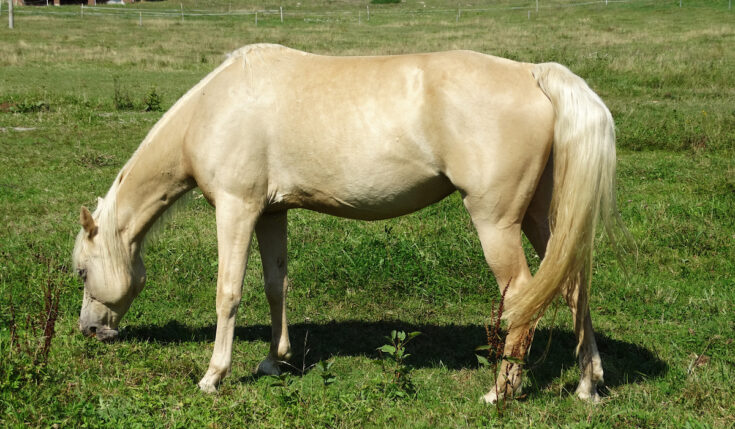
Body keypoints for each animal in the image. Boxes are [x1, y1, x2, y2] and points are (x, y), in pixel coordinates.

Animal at [72, 44, 624, 403]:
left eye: (81, 271)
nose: (90, 330)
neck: (214, 109)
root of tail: (533, 73)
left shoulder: (237, 208)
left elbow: (228, 292)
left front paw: (214, 376)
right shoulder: (272, 212)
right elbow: (275, 285)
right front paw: (275, 360)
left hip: (497, 222)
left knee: (523, 294)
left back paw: (501, 391)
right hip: (542, 218)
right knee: (573, 286)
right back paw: (587, 384)